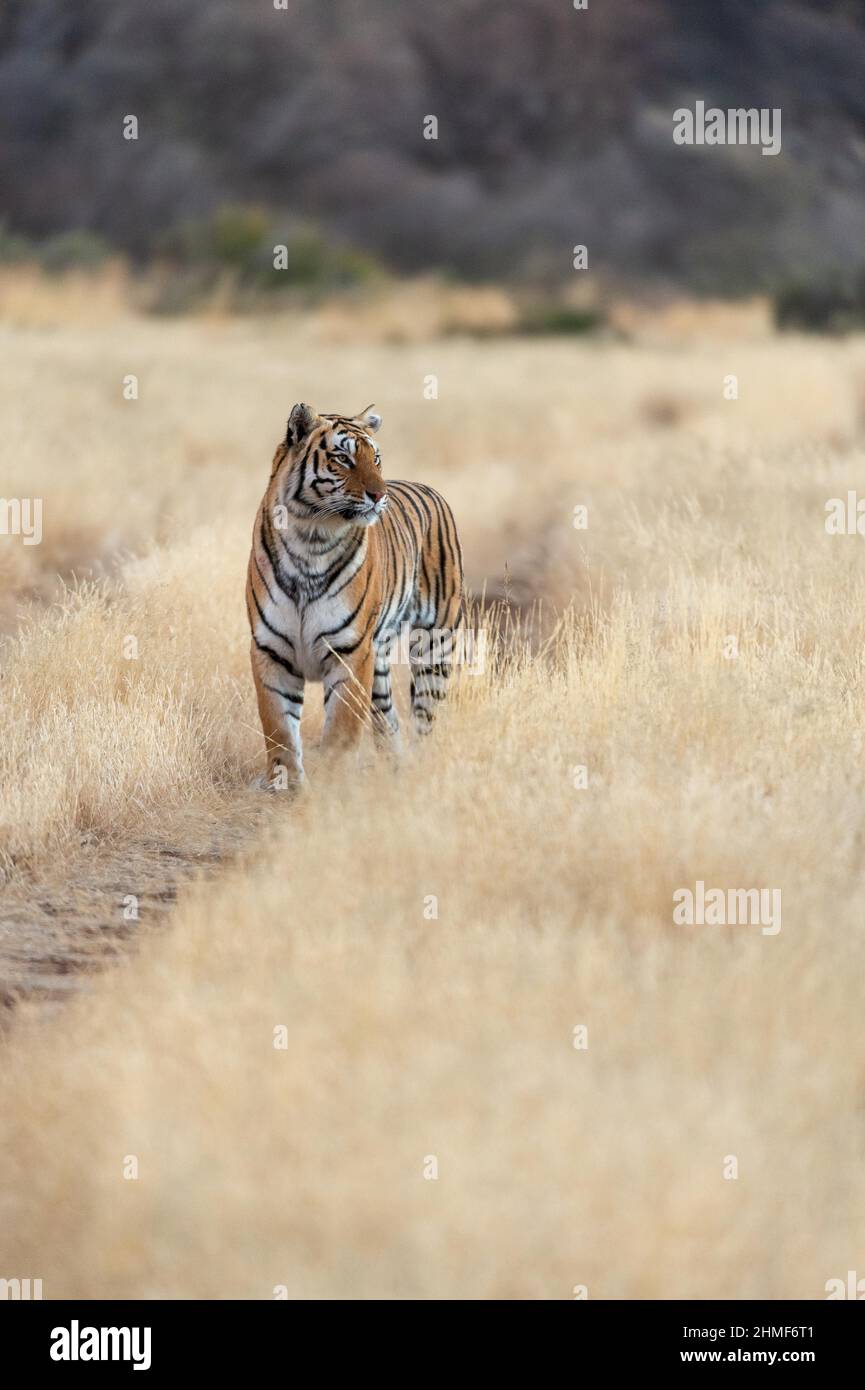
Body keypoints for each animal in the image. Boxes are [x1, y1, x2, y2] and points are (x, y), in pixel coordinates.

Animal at [246, 402, 463, 789]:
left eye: (375, 458)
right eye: (343, 458)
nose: (379, 496)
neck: (310, 539)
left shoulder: (349, 651)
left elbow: (341, 730)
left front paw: (334, 782)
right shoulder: (271, 649)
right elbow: (279, 729)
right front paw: (287, 787)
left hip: (435, 643)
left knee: (425, 717)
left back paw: (419, 767)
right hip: (379, 665)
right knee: (388, 720)